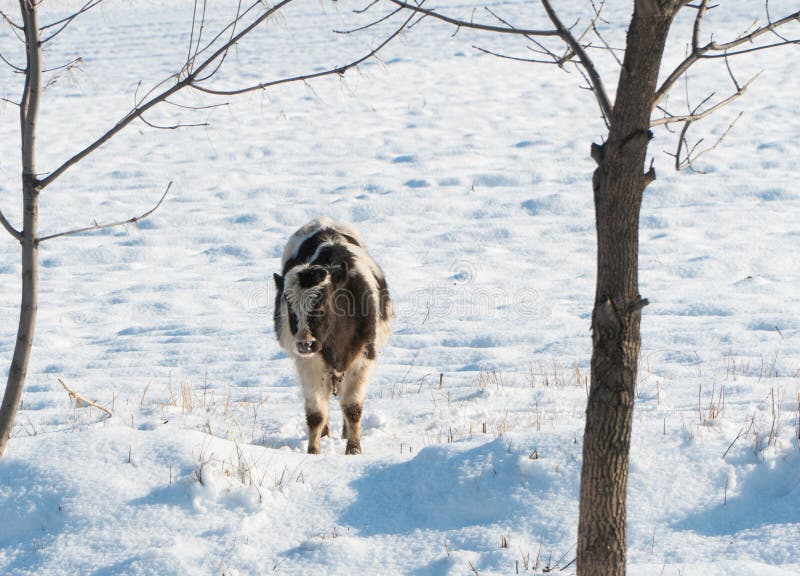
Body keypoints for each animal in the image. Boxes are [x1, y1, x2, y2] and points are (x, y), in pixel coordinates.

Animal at [273, 218, 391, 455]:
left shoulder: (363, 360)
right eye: (289, 305)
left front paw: (353, 449)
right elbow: (316, 413)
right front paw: (313, 451)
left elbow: (352, 408)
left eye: (322, 302)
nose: (305, 344)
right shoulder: (310, 364)